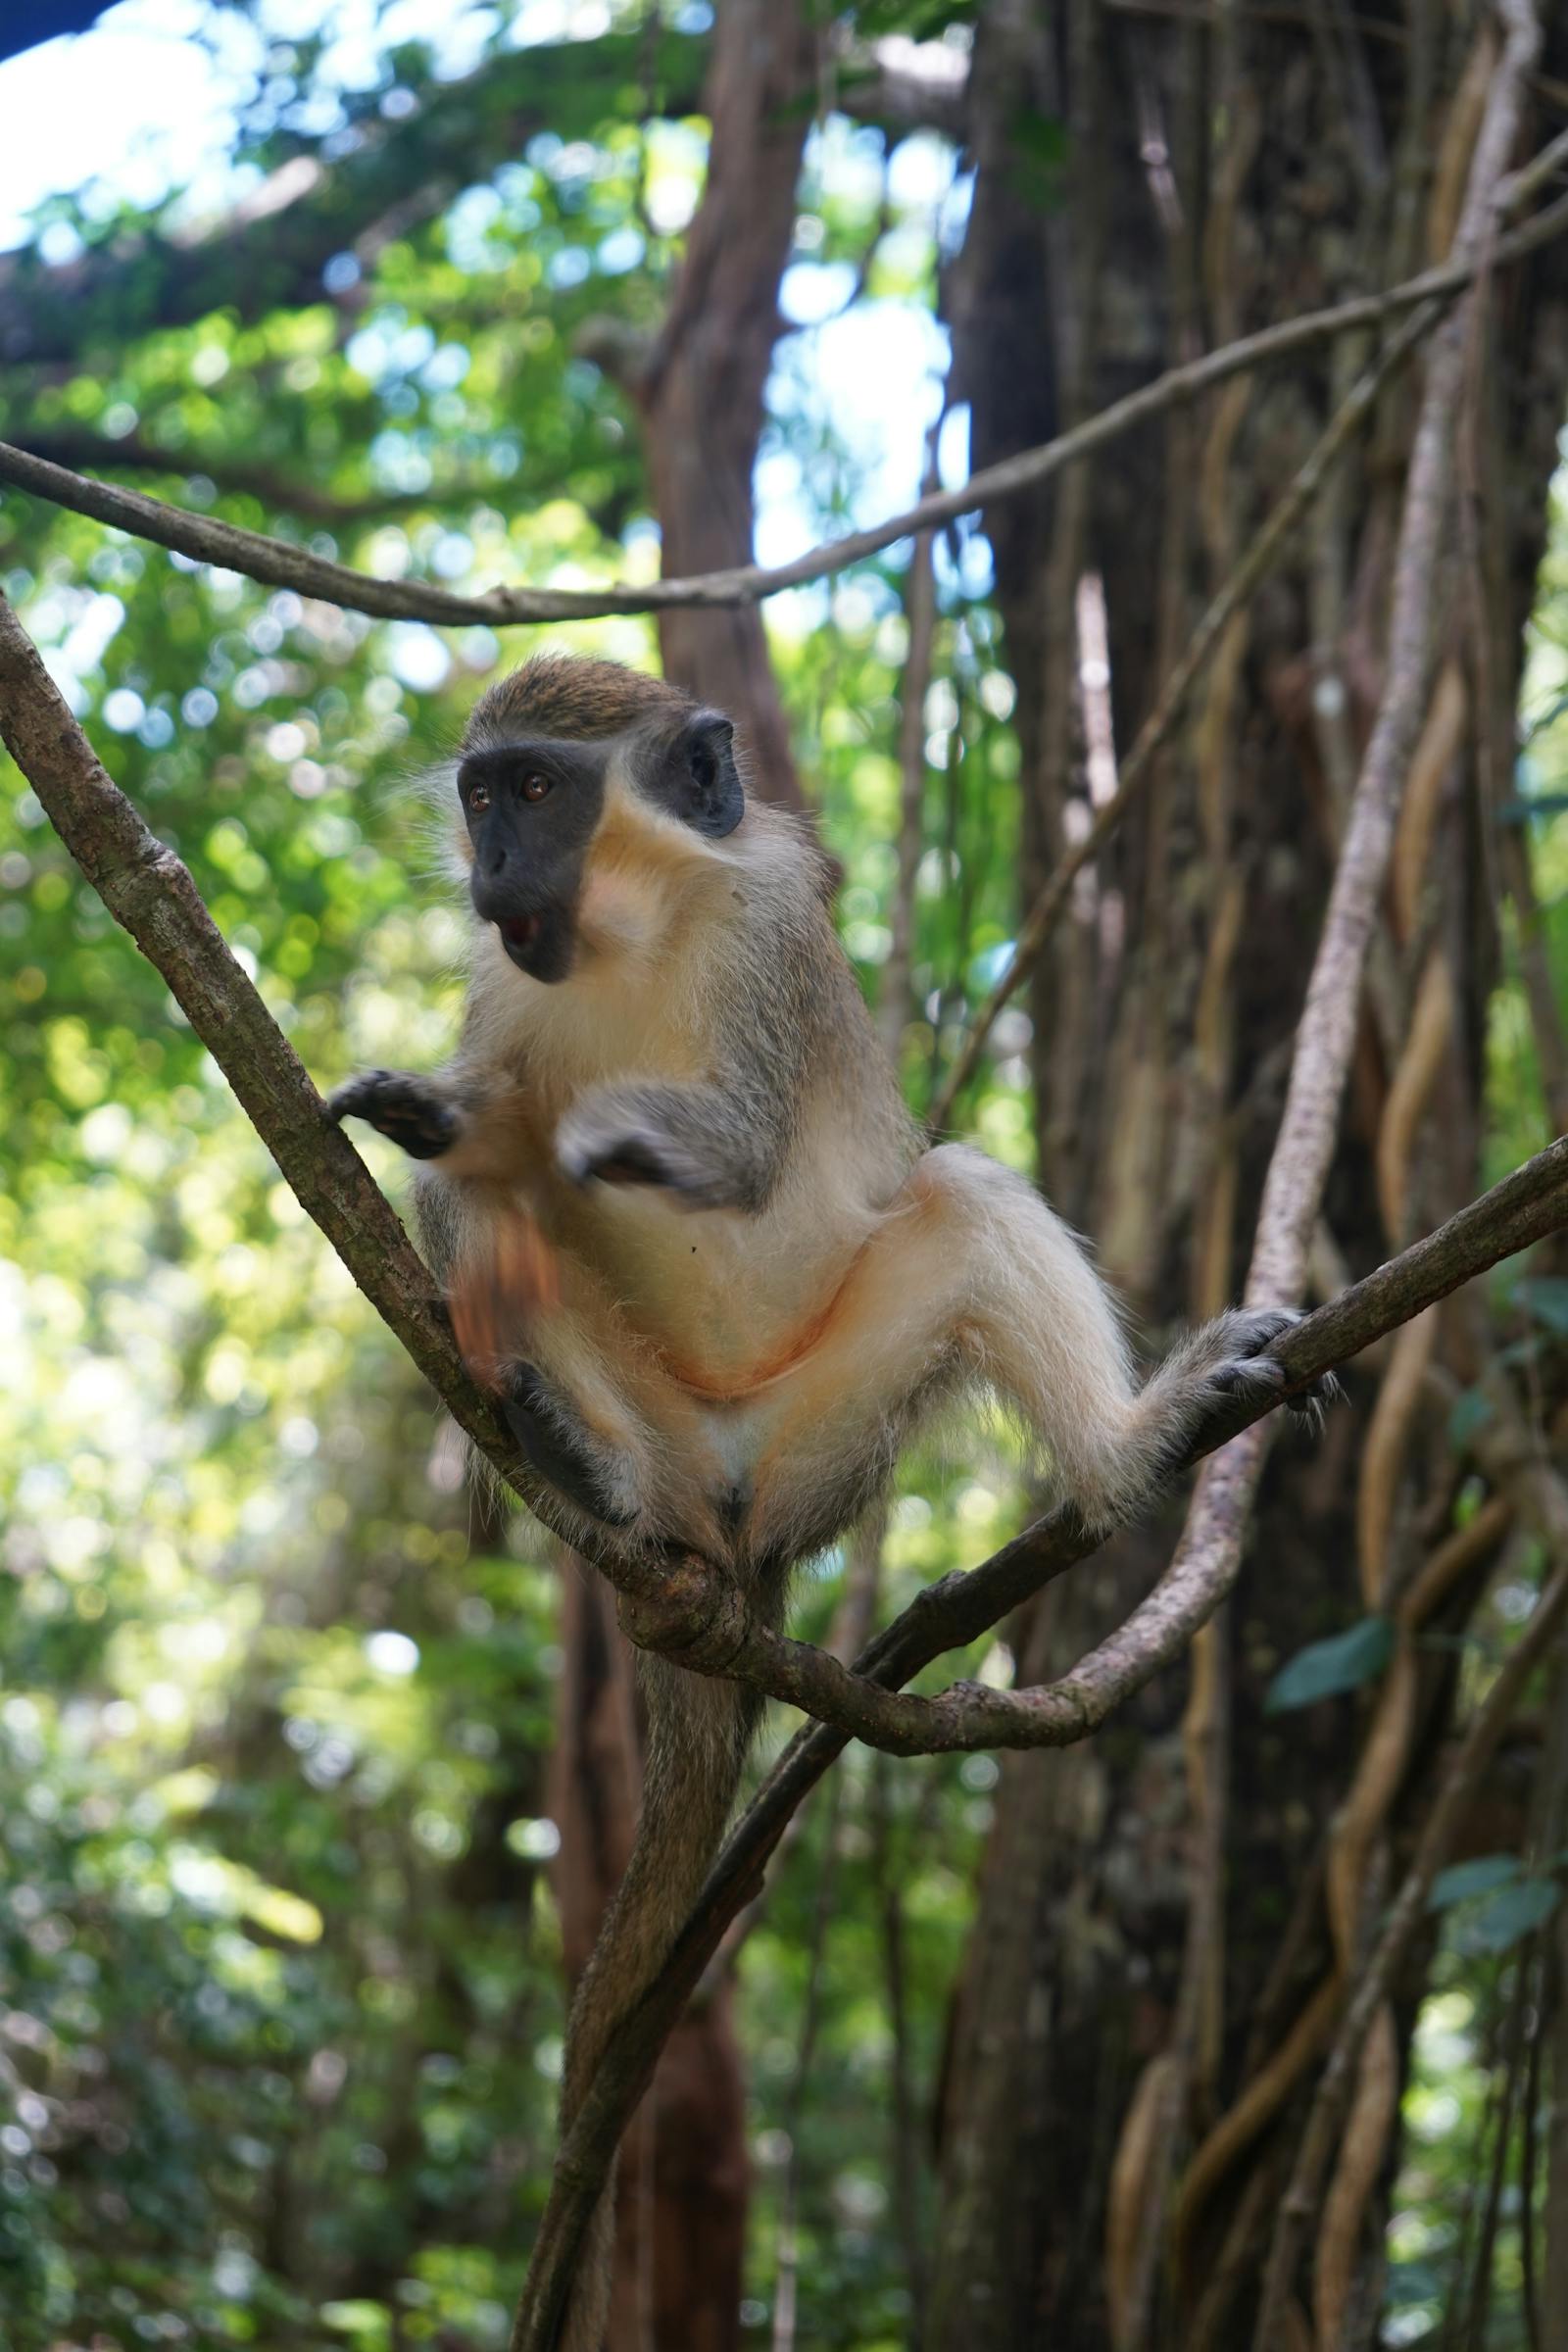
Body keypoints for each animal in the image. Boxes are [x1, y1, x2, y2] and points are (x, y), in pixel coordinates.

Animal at [327, 653, 1321, 2349]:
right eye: (482, 791)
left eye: (539, 789)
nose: (494, 866)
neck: (629, 924)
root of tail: (725, 1520)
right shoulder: (502, 989)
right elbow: (484, 1146)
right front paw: (460, 1124)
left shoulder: (772, 933)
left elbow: (726, 1151)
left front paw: (587, 1134)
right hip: (684, 1432)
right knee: (485, 1223)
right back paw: (577, 1455)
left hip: (827, 1446)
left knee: (967, 1196)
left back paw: (1135, 1438)